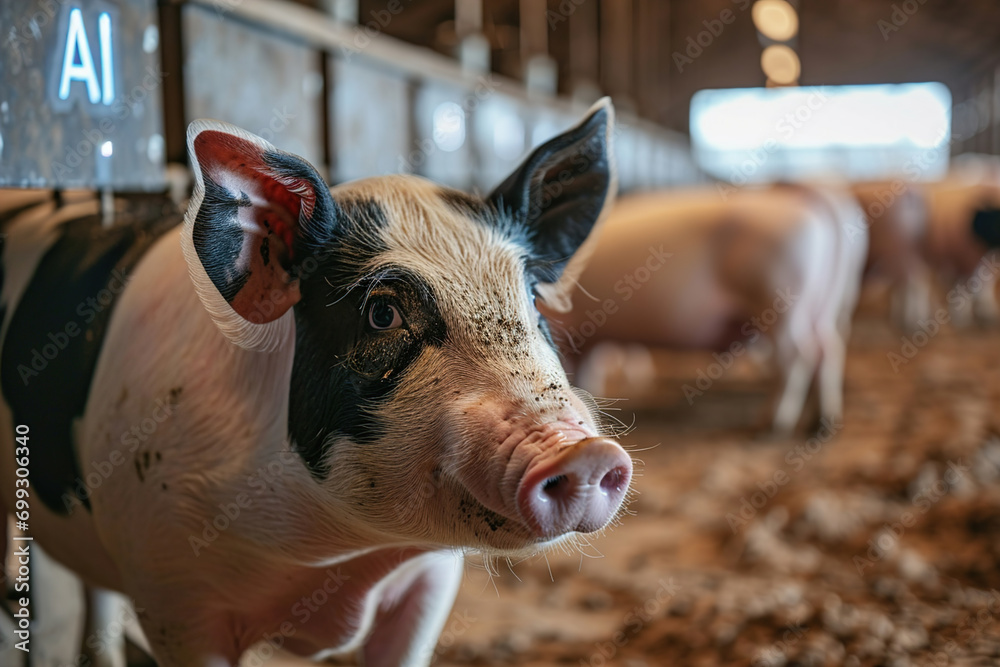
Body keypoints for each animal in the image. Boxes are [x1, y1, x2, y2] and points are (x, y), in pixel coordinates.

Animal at [0, 99, 632, 666]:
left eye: (533, 302)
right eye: (382, 313)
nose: (586, 454)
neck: (335, 551)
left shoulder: (431, 581)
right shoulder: (172, 596)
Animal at [540, 183, 868, 435]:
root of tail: (808, 208)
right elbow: (586, 372)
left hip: (781, 303)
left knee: (798, 356)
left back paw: (769, 425)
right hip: (818, 305)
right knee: (828, 348)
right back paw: (821, 422)